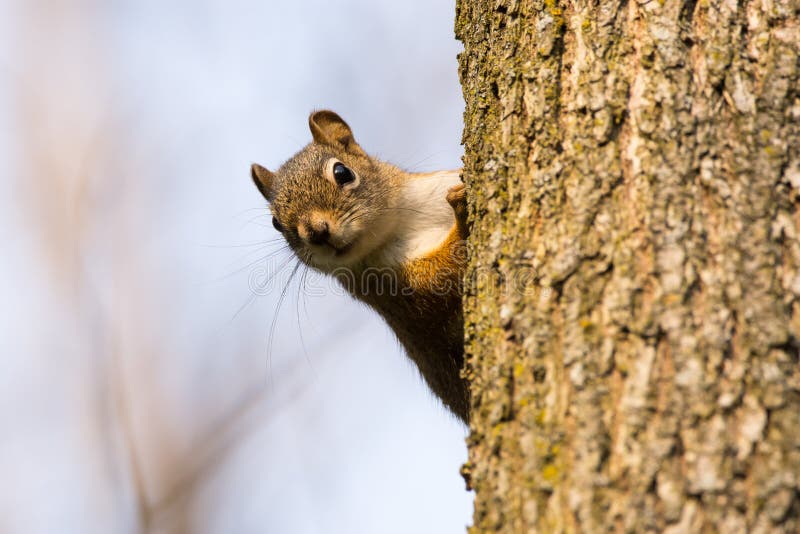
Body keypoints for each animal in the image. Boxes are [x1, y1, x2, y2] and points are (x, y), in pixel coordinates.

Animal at [250, 110, 470, 423]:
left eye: (342, 172)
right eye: (276, 223)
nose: (317, 232)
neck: (401, 224)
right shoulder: (393, 288)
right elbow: (438, 280)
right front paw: (462, 216)